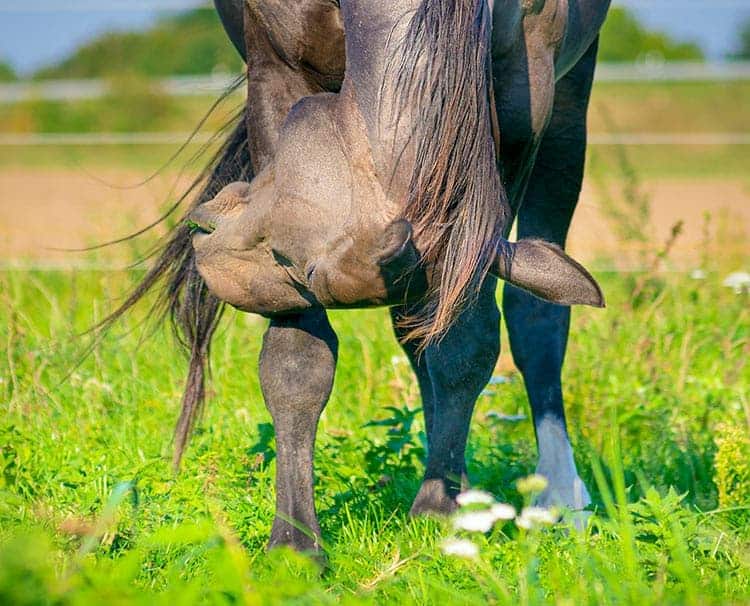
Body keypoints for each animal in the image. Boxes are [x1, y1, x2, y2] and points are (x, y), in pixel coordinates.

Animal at [106, 0, 610, 552]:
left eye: (287, 258)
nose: (222, 275)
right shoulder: (273, 69)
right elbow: (298, 364)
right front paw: (295, 541)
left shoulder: (523, 93)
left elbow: (466, 340)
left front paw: (437, 511)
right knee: (417, 332)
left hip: (568, 98)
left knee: (532, 315)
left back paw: (559, 496)